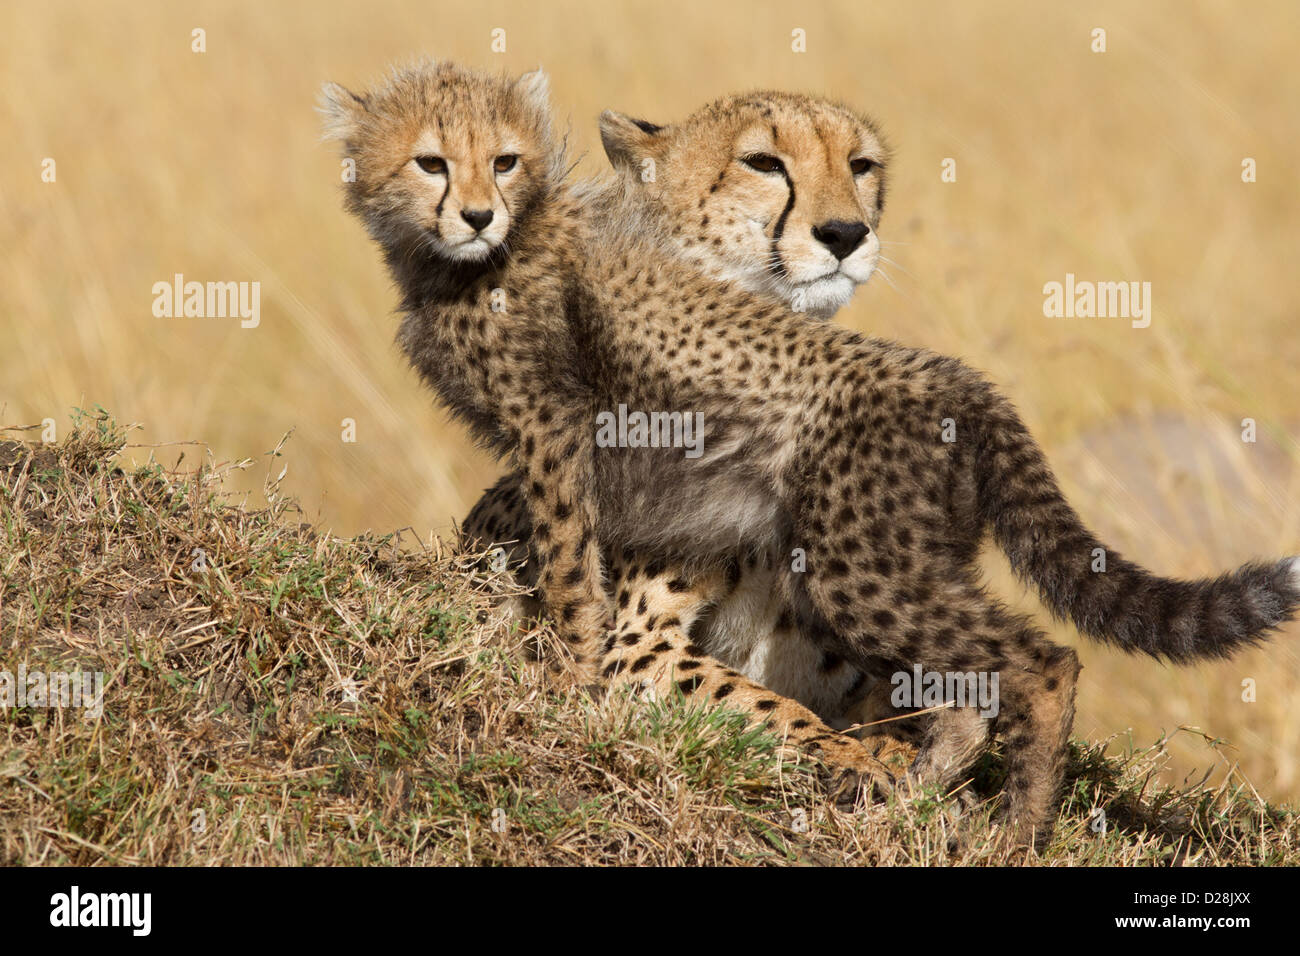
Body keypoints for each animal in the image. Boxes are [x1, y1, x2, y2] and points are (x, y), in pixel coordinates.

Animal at [323, 60, 1300, 847]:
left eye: (861, 167)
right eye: (764, 163)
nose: (844, 234)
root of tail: (962, 386)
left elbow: (832, 708)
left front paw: (892, 770)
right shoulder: (636, 650)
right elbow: (772, 708)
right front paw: (871, 771)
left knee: (1022, 665)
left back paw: (1001, 817)